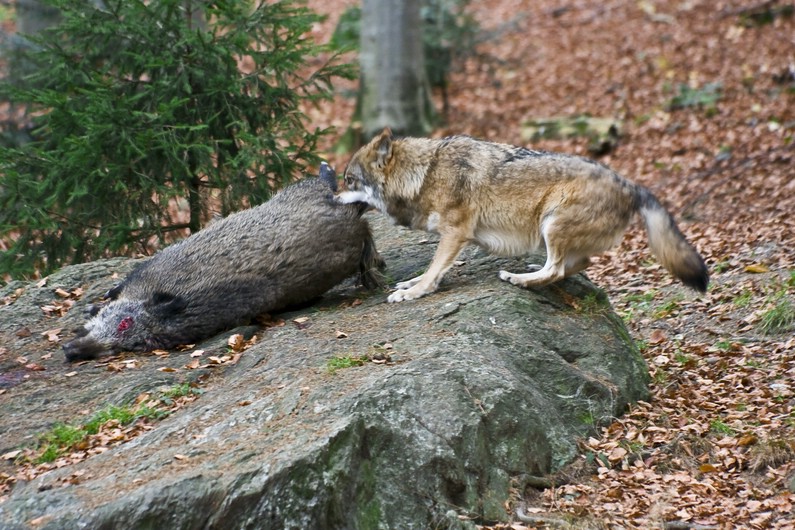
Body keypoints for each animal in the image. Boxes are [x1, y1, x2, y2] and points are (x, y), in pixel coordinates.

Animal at [337, 128, 708, 303]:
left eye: (348, 180)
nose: (333, 196)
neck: (424, 174)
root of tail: (631, 184)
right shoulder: (451, 237)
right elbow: (430, 271)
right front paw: (409, 284)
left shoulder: (455, 234)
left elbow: (431, 272)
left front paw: (413, 293)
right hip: (551, 231)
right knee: (572, 266)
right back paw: (530, 271)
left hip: (551, 221)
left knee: (557, 268)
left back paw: (518, 279)